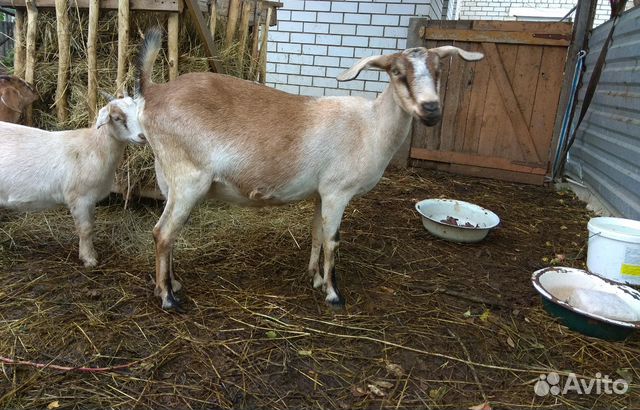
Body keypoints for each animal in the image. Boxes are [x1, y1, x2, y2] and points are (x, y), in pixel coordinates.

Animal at [0, 95, 146, 266]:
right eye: (117, 118)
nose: (143, 136)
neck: (94, 147)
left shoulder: (90, 199)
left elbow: (91, 226)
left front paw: (90, 253)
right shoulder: (79, 197)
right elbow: (85, 229)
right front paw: (89, 259)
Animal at [136, 27, 484, 311]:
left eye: (439, 70)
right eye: (397, 71)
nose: (431, 109)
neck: (369, 127)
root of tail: (154, 92)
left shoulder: (321, 192)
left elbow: (317, 232)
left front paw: (315, 277)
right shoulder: (337, 191)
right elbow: (333, 239)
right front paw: (333, 294)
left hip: (168, 179)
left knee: (169, 233)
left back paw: (170, 284)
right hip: (189, 178)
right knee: (163, 233)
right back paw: (169, 299)